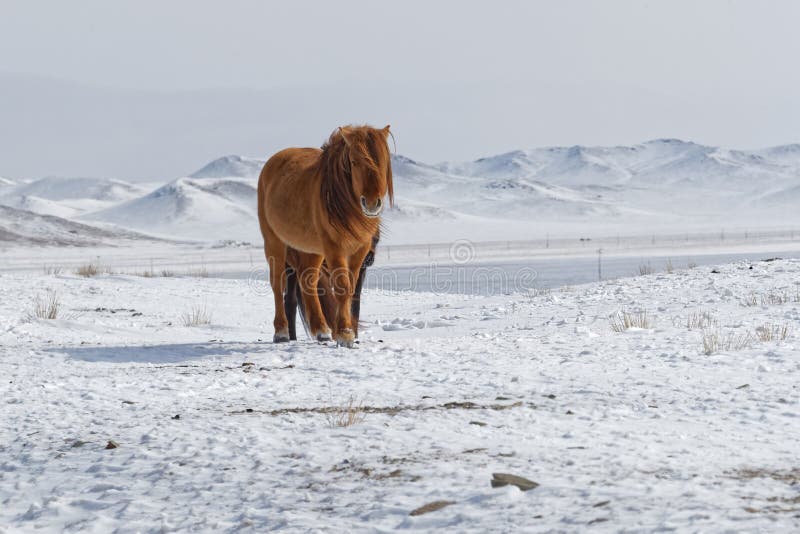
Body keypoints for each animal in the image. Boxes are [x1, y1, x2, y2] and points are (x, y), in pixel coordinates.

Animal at [257, 125, 393, 347]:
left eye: (383, 161)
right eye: (354, 162)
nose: (372, 203)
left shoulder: (359, 251)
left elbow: (350, 288)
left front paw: (343, 332)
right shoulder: (335, 248)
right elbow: (343, 286)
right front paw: (345, 334)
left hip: (311, 249)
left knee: (308, 281)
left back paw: (322, 331)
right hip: (274, 242)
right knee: (277, 284)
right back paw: (282, 332)